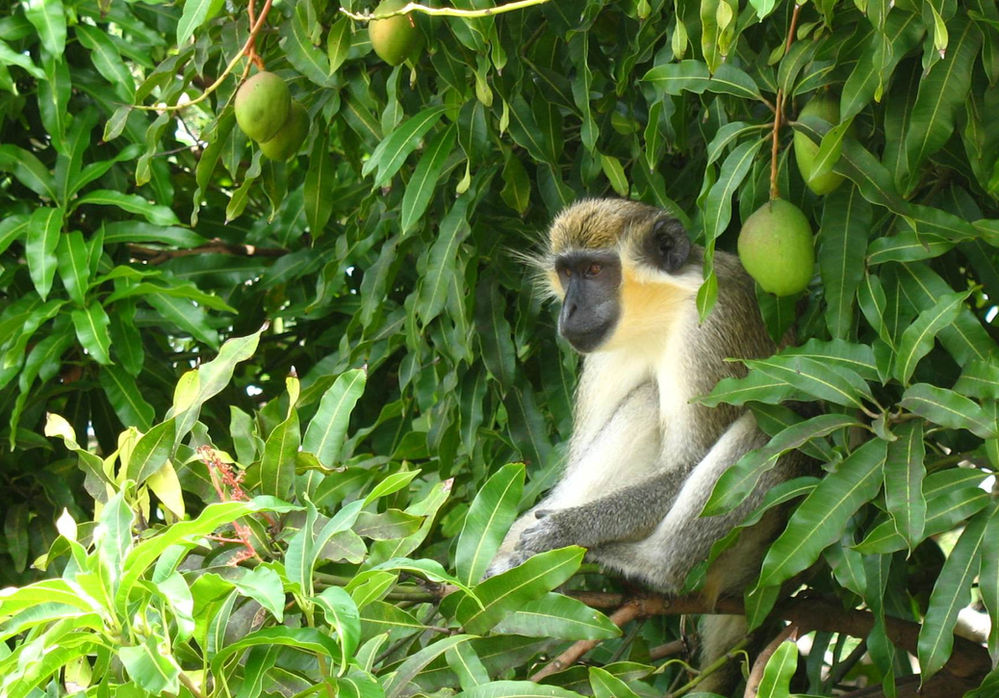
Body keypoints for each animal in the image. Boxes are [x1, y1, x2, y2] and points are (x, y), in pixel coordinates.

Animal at [485, 198, 804, 692]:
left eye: (595, 270)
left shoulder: (709, 322)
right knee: (646, 399)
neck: (658, 311)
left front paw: (567, 531)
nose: (570, 309)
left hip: (745, 551)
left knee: (769, 426)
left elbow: (686, 464)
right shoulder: (599, 355)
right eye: (567, 271)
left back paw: (647, 565)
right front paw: (515, 552)